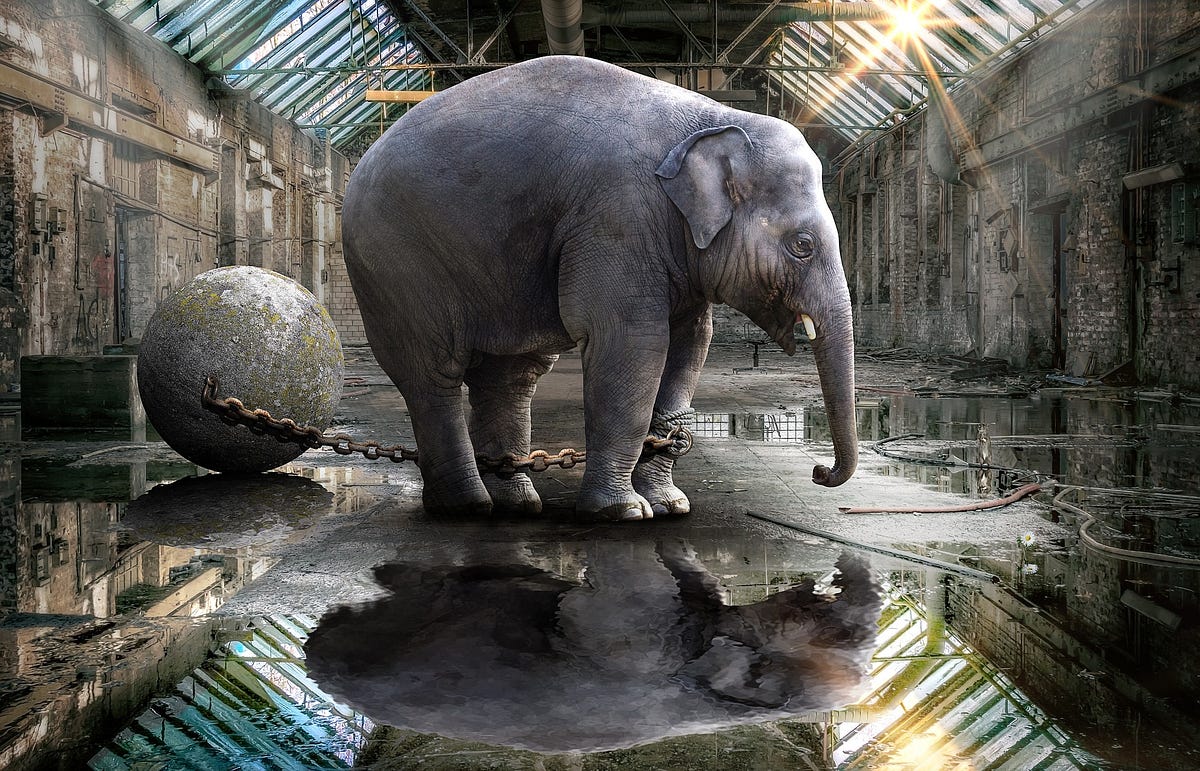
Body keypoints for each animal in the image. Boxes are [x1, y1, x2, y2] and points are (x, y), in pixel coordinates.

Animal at [342, 55, 856, 520]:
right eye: (803, 245)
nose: (819, 472)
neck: (714, 119)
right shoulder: (617, 217)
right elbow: (633, 342)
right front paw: (623, 512)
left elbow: (690, 346)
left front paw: (670, 506)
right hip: (397, 265)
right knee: (433, 375)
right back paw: (465, 508)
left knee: (510, 376)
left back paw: (517, 505)